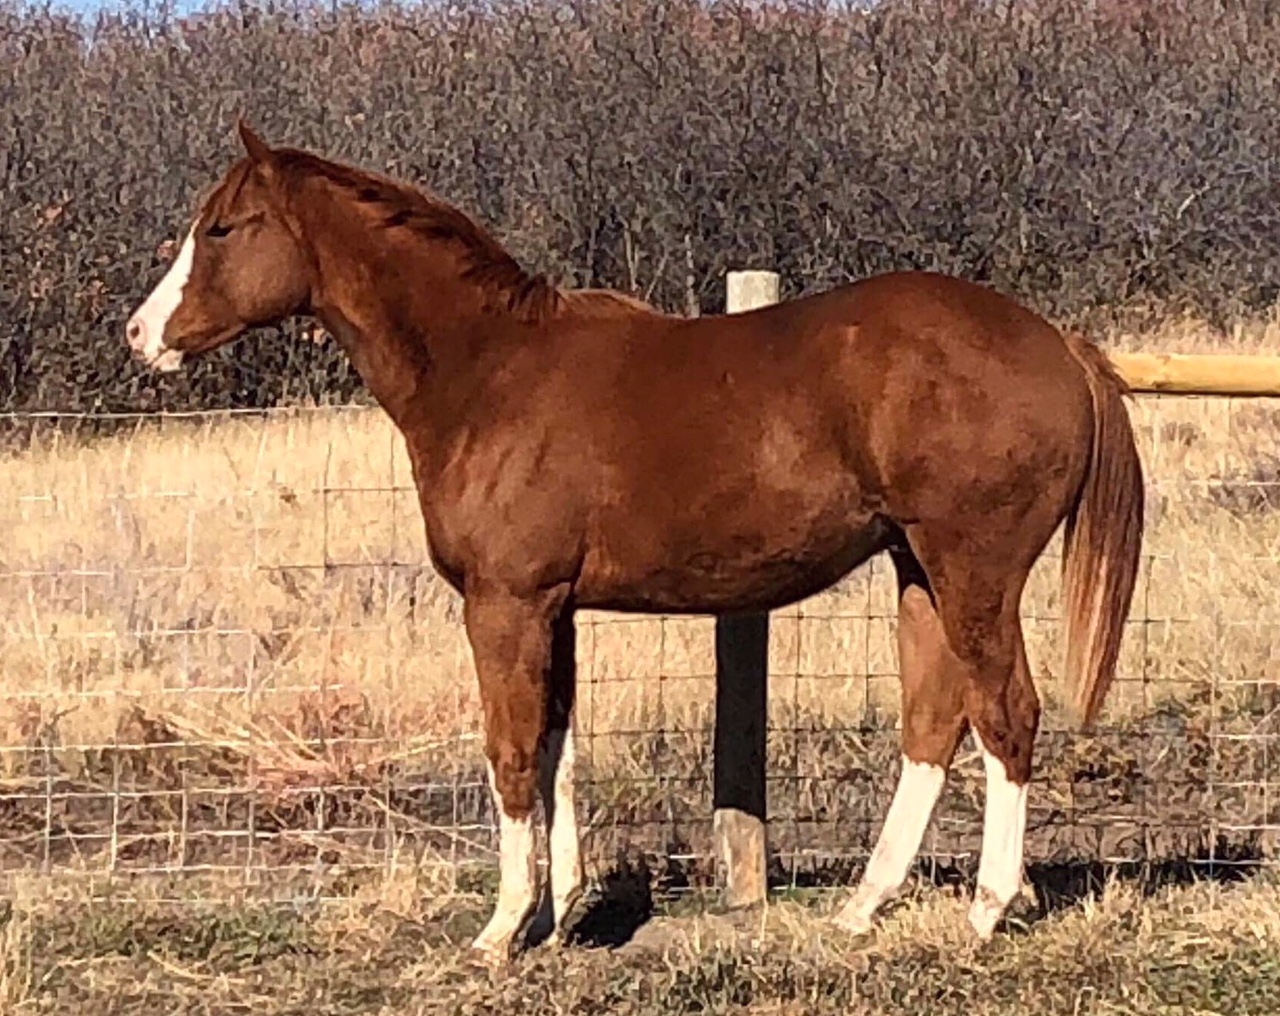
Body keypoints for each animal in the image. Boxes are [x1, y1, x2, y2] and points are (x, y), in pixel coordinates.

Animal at [125, 122, 1144, 962]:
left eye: (224, 228)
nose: (140, 335)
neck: (489, 373)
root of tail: (1062, 348)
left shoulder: (503, 604)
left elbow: (509, 752)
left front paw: (500, 932)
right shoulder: (553, 608)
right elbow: (556, 749)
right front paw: (558, 914)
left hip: (973, 568)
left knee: (1007, 714)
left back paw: (986, 911)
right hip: (917, 569)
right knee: (934, 722)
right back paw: (862, 909)